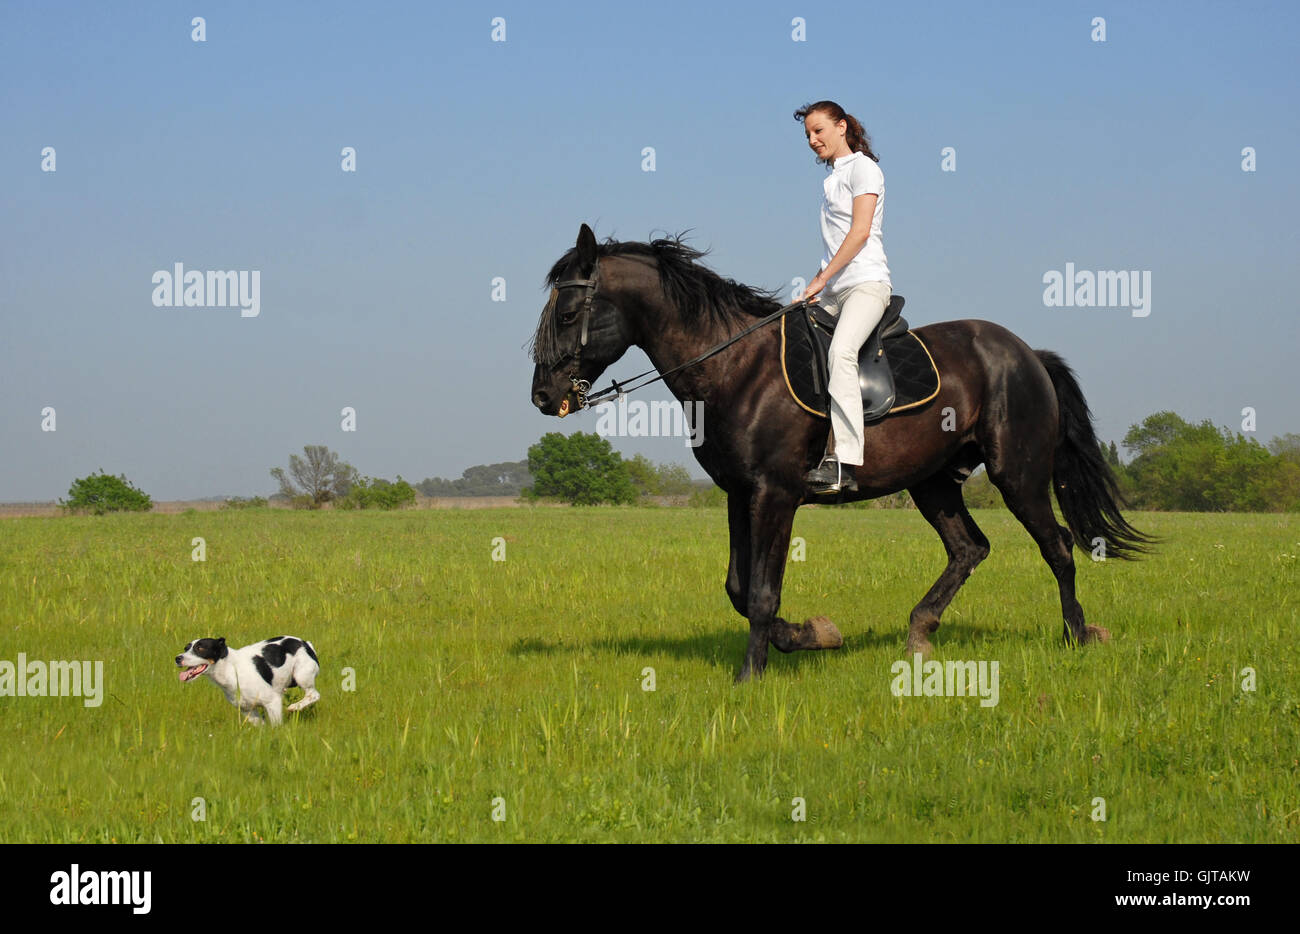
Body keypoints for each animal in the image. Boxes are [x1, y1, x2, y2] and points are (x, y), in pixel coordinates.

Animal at [529, 224, 1152, 682]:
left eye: (567, 315)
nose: (543, 396)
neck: (734, 367)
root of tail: (1026, 354)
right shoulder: (738, 494)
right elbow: (737, 588)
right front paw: (810, 636)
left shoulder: (776, 494)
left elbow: (761, 592)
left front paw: (754, 673)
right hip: (932, 482)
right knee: (969, 548)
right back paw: (920, 634)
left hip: (1017, 475)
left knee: (1058, 547)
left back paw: (1077, 634)